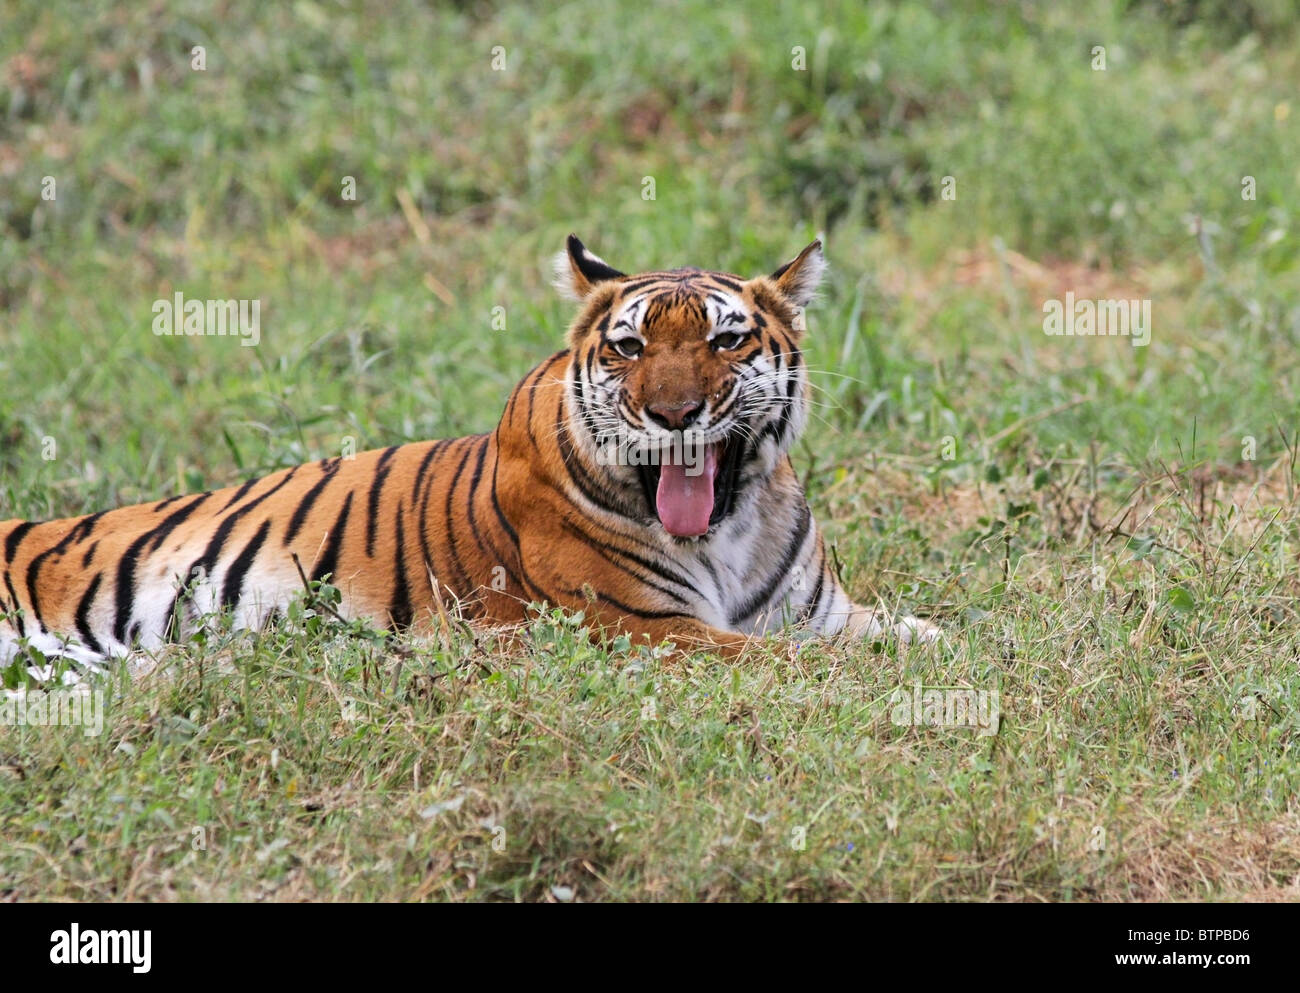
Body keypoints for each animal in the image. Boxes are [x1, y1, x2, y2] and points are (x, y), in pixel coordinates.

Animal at [0, 236, 939, 676]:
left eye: (726, 340)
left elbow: (926, 634)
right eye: (631, 347)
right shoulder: (640, 626)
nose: (673, 415)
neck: (731, 526)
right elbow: (802, 661)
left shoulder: (824, 610)